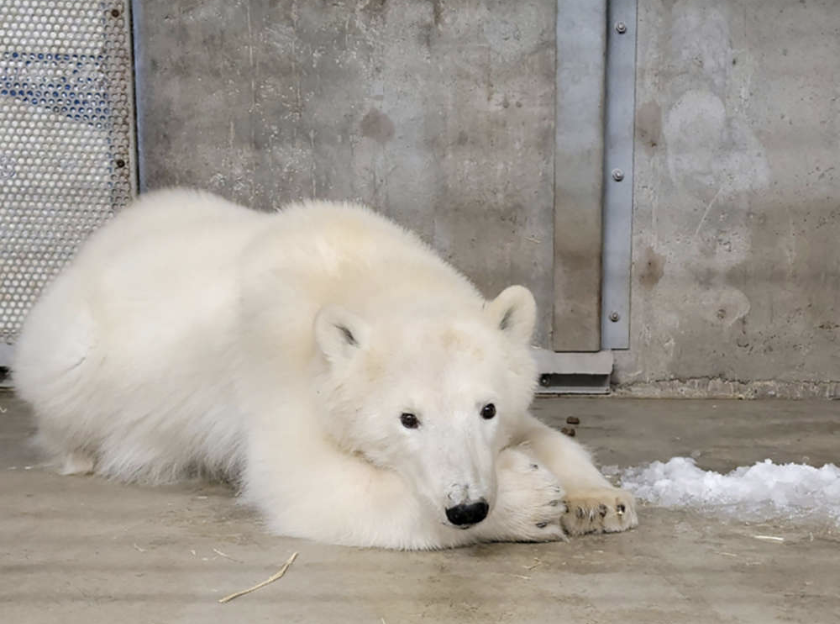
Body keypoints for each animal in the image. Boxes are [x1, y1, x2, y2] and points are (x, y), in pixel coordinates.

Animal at [12, 188, 637, 549]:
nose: (466, 506)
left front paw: (598, 501)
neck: (361, 269)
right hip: (73, 363)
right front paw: (530, 502)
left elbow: (541, 431)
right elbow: (306, 483)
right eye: (407, 419)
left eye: (487, 408)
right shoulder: (277, 366)